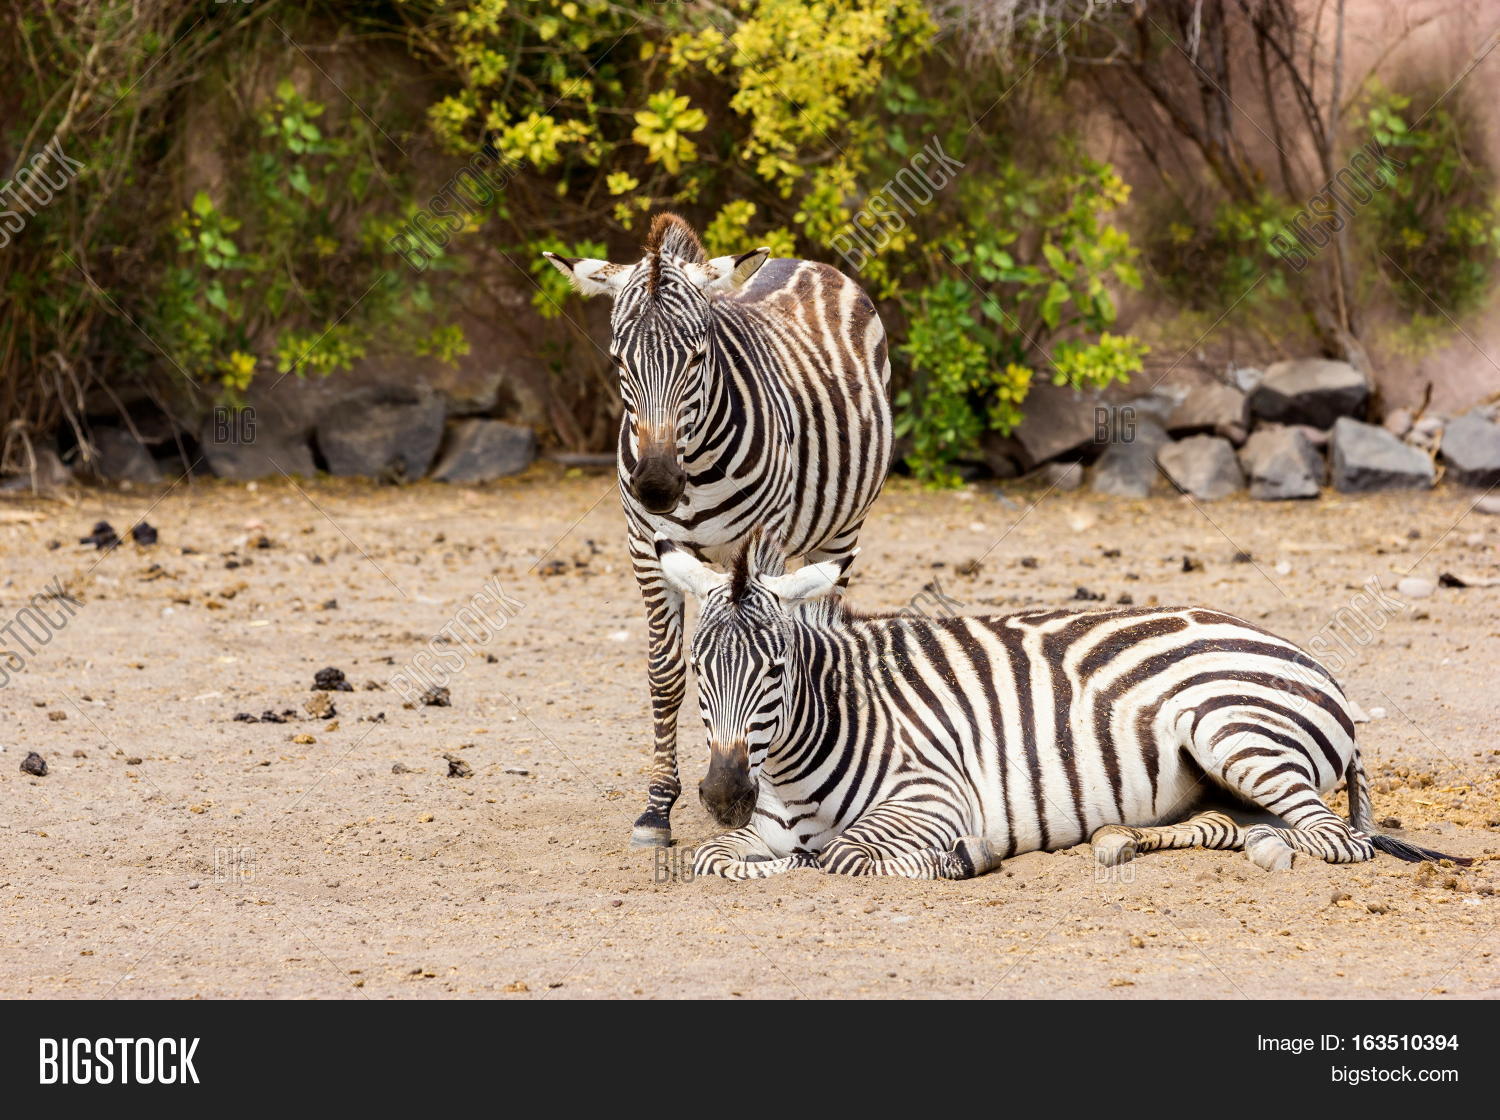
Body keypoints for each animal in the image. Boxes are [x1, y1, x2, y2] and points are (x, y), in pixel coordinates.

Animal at [542, 213, 892, 847]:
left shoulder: (765, 541)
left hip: (843, 528)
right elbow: (665, 674)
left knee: (822, 614)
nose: (657, 485)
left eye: (698, 356)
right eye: (619, 360)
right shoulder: (646, 548)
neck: (694, 466)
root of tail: (802, 261)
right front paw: (657, 808)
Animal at [656, 529, 1471, 879]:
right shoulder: (759, 824)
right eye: (698, 670)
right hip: (1215, 773)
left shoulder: (935, 795)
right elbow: (714, 858)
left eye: (776, 670)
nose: (723, 795)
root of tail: (1313, 661)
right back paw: (1122, 841)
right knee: (1228, 824)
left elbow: (845, 855)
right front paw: (755, 858)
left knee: (1331, 838)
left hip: (1231, 727)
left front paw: (962, 858)